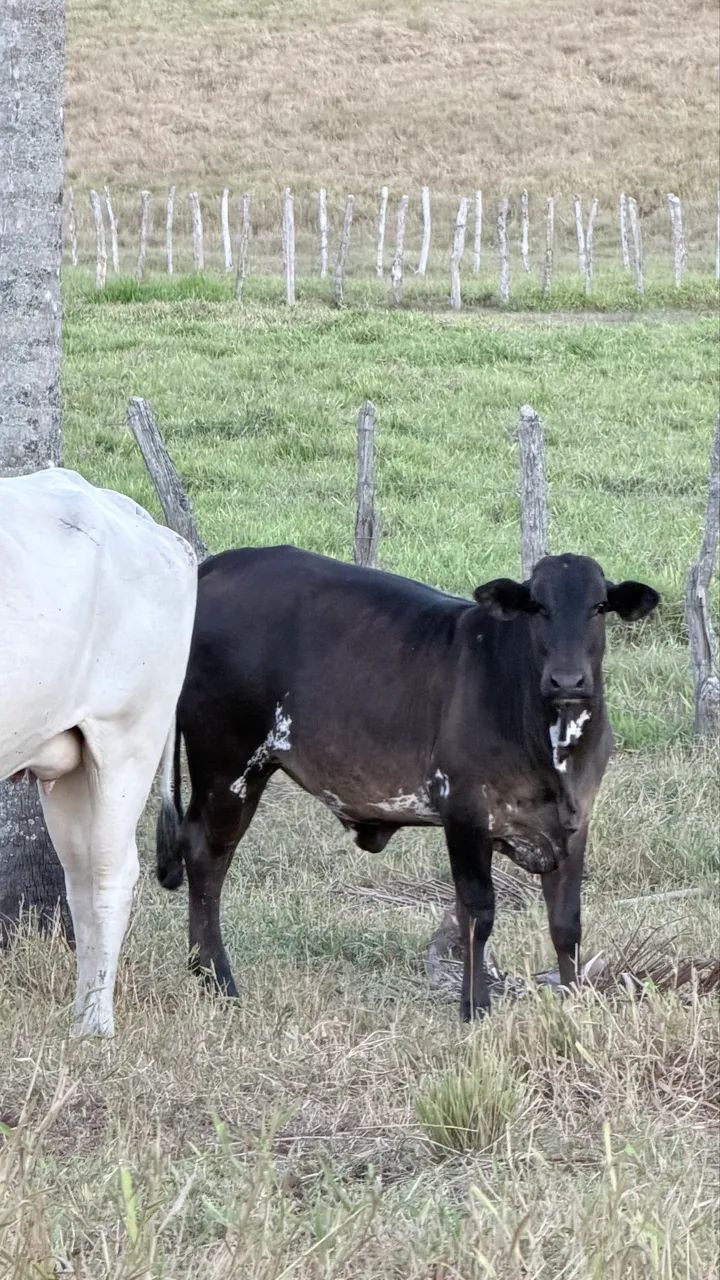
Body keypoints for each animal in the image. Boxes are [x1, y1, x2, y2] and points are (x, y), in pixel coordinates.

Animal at [156, 545, 658, 1021]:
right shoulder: (465, 811)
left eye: (599, 606)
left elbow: (566, 922)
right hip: (226, 765)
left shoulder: (575, 822)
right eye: (538, 606)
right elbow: (477, 913)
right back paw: (219, 980)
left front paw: (575, 1001)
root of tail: (219, 565)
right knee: (206, 858)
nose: (567, 680)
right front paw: (474, 1007)